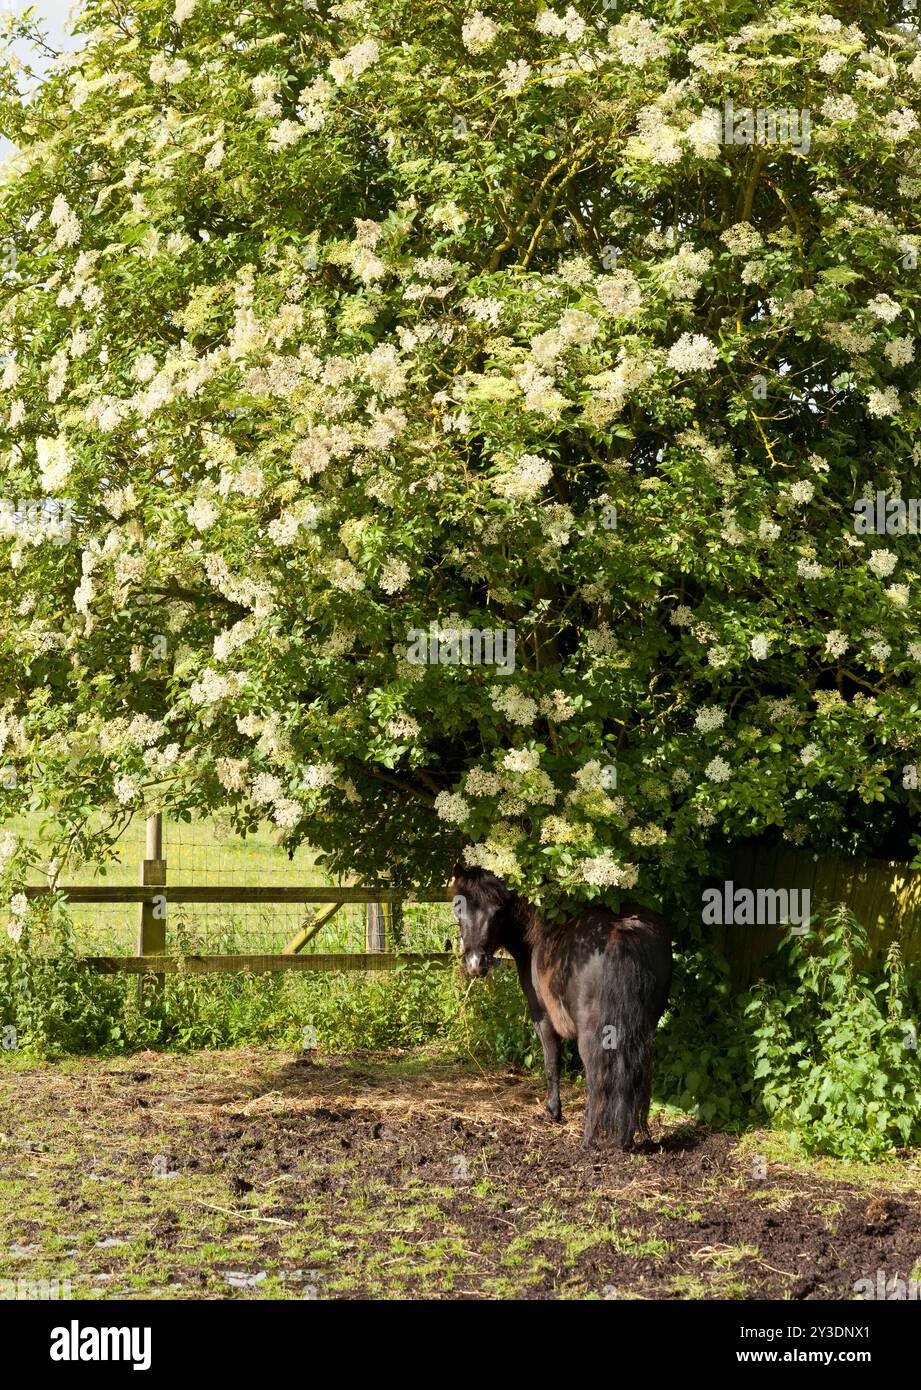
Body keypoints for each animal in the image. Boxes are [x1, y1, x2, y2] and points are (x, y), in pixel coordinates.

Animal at [451, 864, 672, 1150]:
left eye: (498, 911)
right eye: (459, 908)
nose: (475, 964)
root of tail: (622, 931)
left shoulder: (543, 1018)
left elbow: (552, 1062)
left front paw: (553, 1111)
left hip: (593, 1034)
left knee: (596, 1076)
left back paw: (589, 1138)